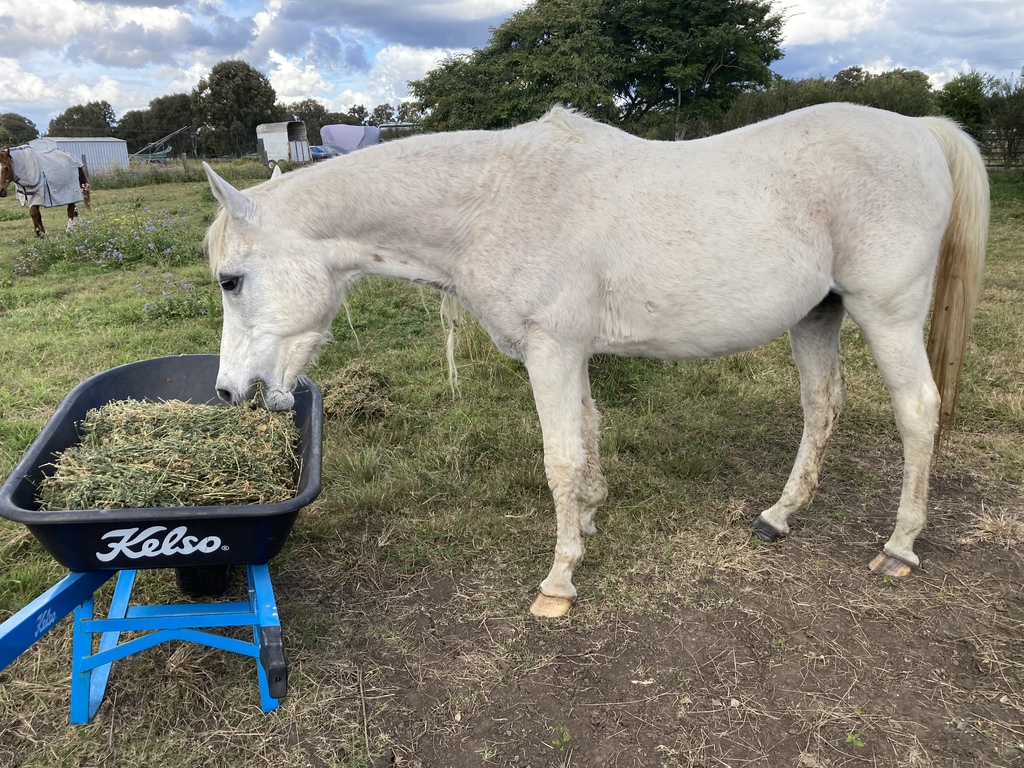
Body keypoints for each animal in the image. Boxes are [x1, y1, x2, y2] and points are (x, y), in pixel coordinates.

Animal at [202, 102, 989, 618]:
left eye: (230, 280)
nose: (231, 392)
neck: (492, 201)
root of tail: (919, 128)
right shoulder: (570, 353)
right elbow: (587, 435)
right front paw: (587, 522)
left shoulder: (550, 351)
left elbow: (561, 456)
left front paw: (559, 581)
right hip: (816, 316)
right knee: (822, 406)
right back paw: (780, 515)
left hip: (887, 315)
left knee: (917, 411)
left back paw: (900, 546)